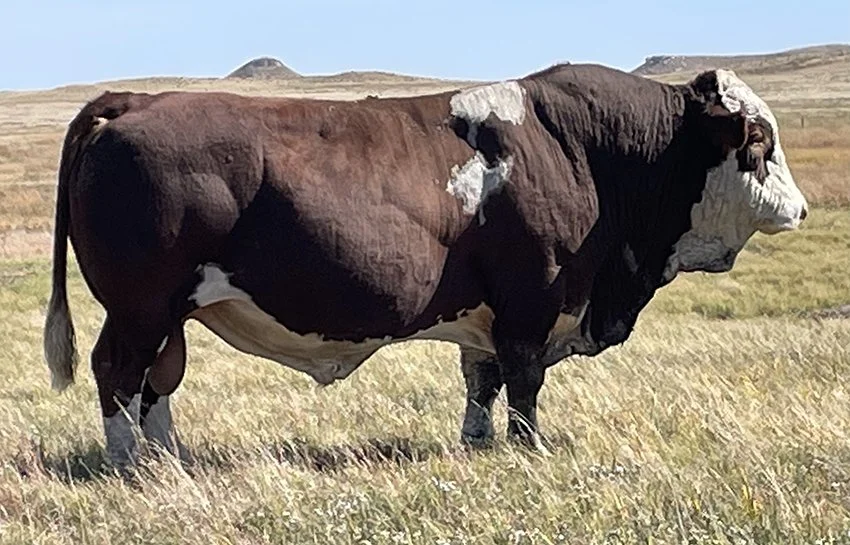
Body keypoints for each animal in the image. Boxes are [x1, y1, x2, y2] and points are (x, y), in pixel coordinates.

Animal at [42, 63, 807, 471]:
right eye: (757, 139)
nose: (800, 209)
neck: (590, 153)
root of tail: (133, 101)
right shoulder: (532, 302)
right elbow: (524, 383)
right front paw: (528, 449)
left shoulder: (489, 316)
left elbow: (482, 381)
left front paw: (477, 443)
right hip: (139, 307)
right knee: (118, 374)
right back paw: (128, 465)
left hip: (168, 313)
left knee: (157, 382)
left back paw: (169, 459)